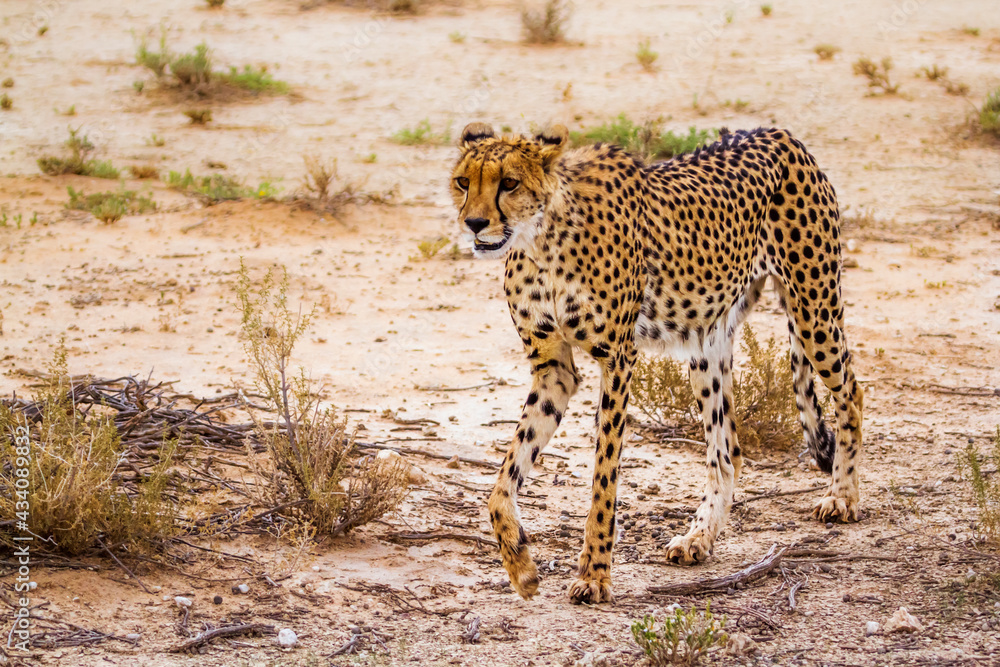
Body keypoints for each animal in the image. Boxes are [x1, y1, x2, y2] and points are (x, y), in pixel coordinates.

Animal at [449, 122, 864, 605]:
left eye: (509, 183)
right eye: (464, 181)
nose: (474, 222)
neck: (541, 240)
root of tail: (775, 132)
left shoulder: (618, 359)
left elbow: (604, 478)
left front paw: (595, 574)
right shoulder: (554, 370)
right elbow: (501, 482)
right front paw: (521, 566)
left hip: (814, 314)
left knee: (852, 393)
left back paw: (843, 496)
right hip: (708, 342)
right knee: (727, 450)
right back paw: (699, 537)